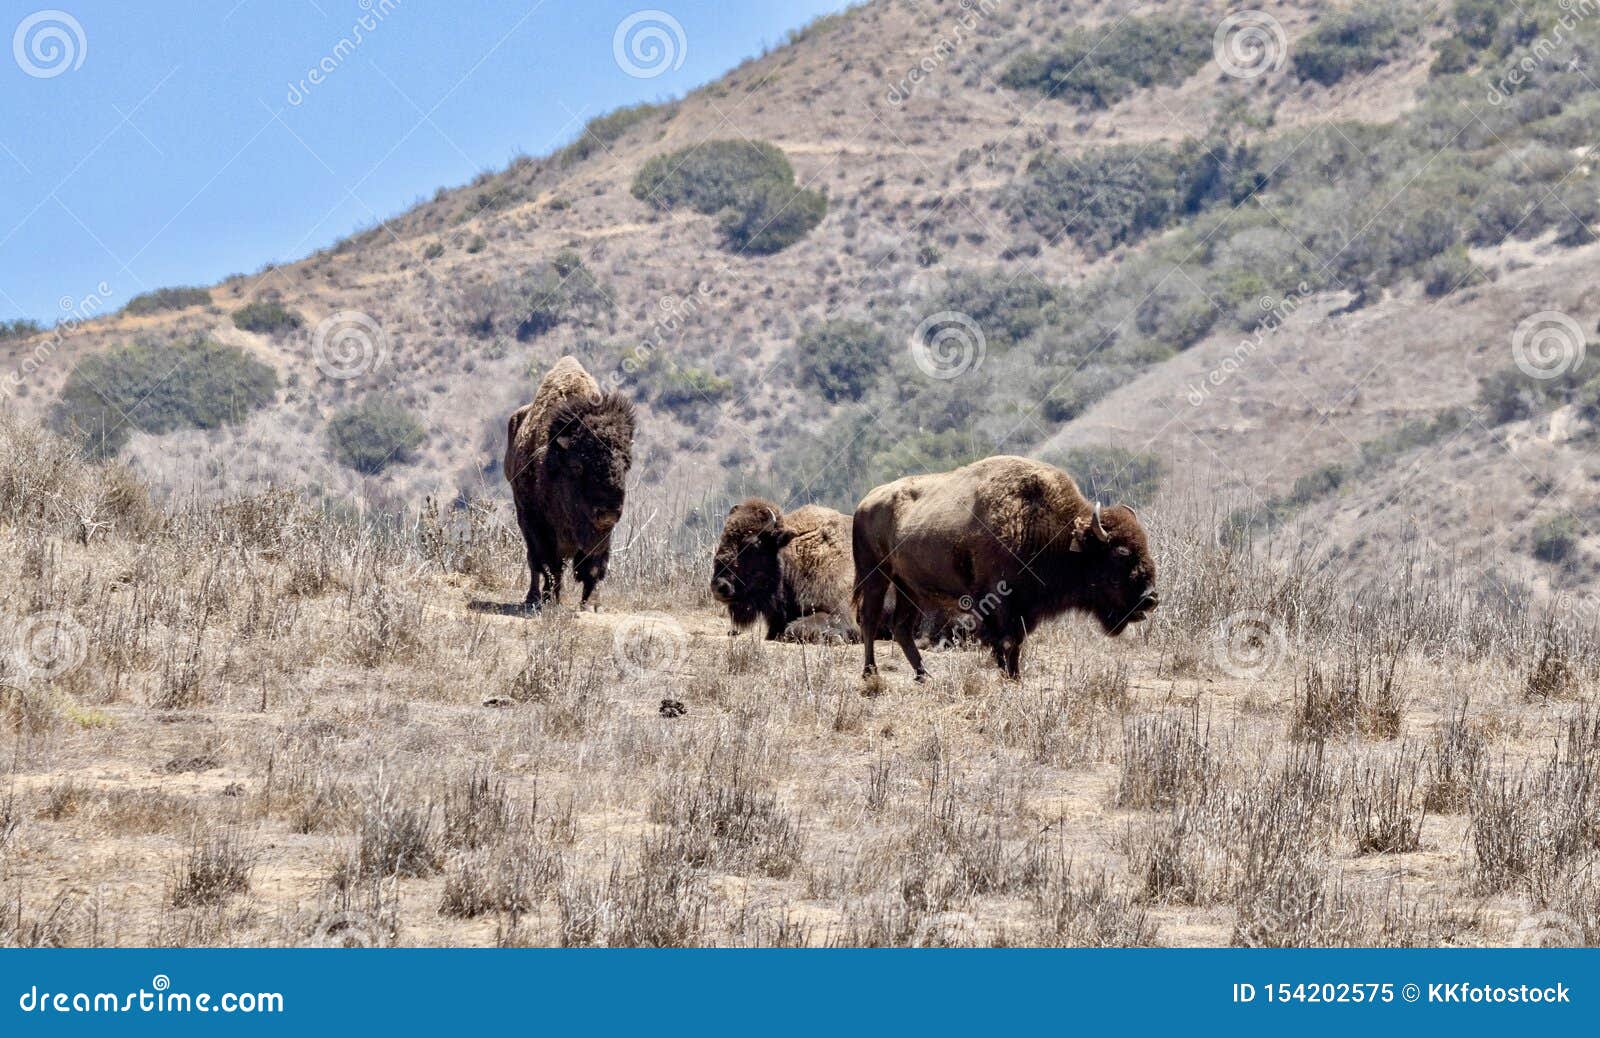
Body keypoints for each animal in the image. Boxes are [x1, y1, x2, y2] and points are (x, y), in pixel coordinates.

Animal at [503, 356, 635, 609]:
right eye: (577, 466)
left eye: (626, 464)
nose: (608, 512)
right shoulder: (539, 524)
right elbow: (550, 565)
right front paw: (552, 599)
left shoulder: (601, 537)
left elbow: (592, 568)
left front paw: (591, 604)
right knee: (535, 563)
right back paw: (534, 598)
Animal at [852, 455, 1158, 680]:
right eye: (1120, 554)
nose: (1150, 598)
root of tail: (866, 501)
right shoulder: (999, 602)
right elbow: (1006, 641)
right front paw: (1009, 678)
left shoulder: (1023, 608)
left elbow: (1016, 644)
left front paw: (1015, 677)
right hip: (875, 574)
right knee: (870, 619)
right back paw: (871, 673)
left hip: (909, 587)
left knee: (901, 627)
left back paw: (924, 675)